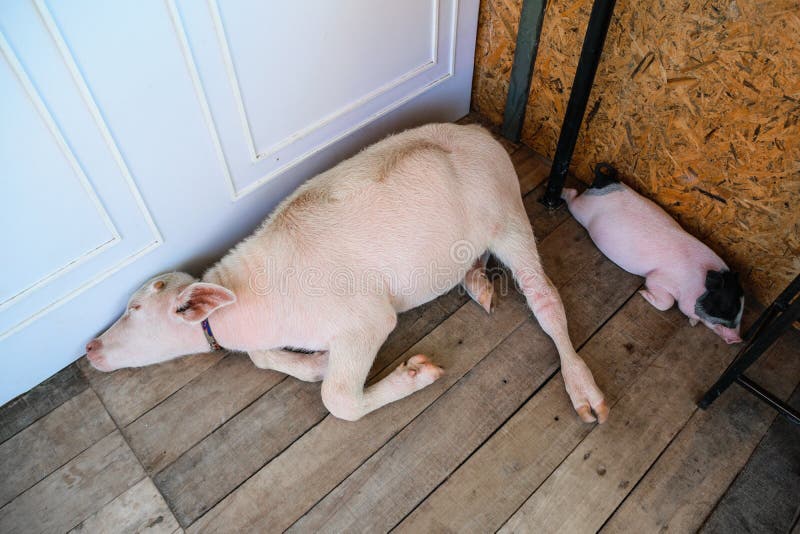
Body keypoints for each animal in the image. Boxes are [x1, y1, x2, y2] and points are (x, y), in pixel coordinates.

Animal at [85, 123, 608, 423]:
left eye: (134, 308)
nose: (89, 347)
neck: (255, 300)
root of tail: (482, 133)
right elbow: (264, 358)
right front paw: (315, 362)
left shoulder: (367, 320)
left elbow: (338, 399)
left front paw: (415, 375)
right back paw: (477, 282)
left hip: (509, 216)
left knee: (546, 299)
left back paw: (583, 388)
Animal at [561, 163, 744, 344]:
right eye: (726, 308)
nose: (738, 339)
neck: (695, 282)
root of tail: (607, 179)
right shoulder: (658, 279)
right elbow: (667, 302)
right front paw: (642, 293)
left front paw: (693, 322)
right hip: (582, 209)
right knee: (573, 195)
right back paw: (563, 192)